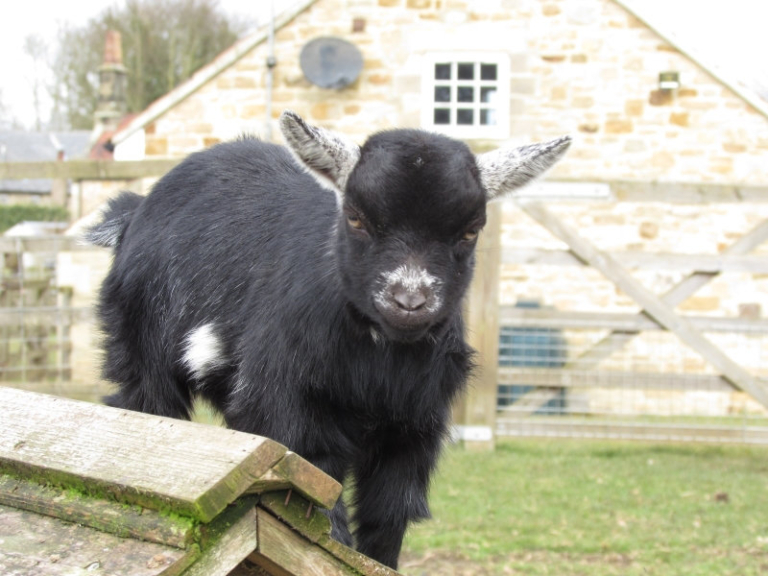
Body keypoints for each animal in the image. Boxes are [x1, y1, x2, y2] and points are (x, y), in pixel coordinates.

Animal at [86, 111, 570, 569]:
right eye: (355, 217)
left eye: (471, 230)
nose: (409, 301)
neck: (376, 365)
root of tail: (135, 208)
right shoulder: (286, 407)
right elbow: (317, 503)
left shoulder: (414, 427)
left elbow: (388, 515)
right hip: (142, 348)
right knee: (146, 401)